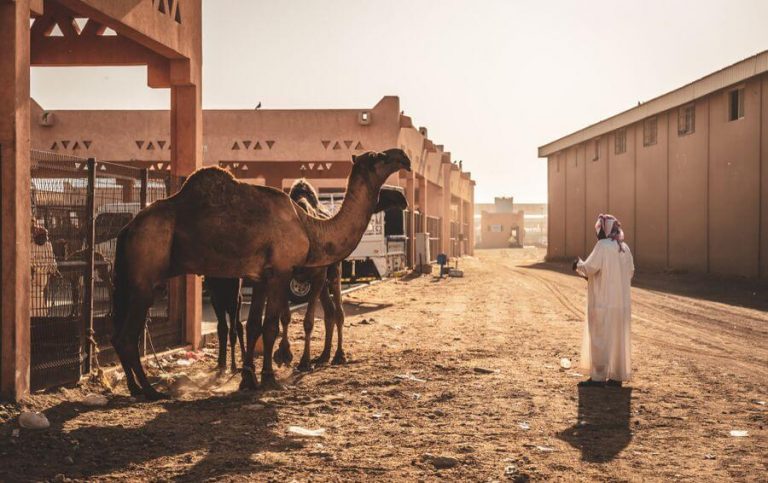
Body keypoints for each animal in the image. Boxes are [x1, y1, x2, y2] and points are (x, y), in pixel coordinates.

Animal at [112, 149, 411, 399]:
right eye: (379, 157)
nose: (404, 157)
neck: (309, 226)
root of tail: (127, 229)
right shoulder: (280, 272)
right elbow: (271, 326)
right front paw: (268, 377)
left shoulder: (259, 277)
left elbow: (254, 325)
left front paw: (248, 379)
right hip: (145, 275)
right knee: (128, 336)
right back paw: (149, 390)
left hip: (130, 279)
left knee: (121, 334)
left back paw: (135, 387)